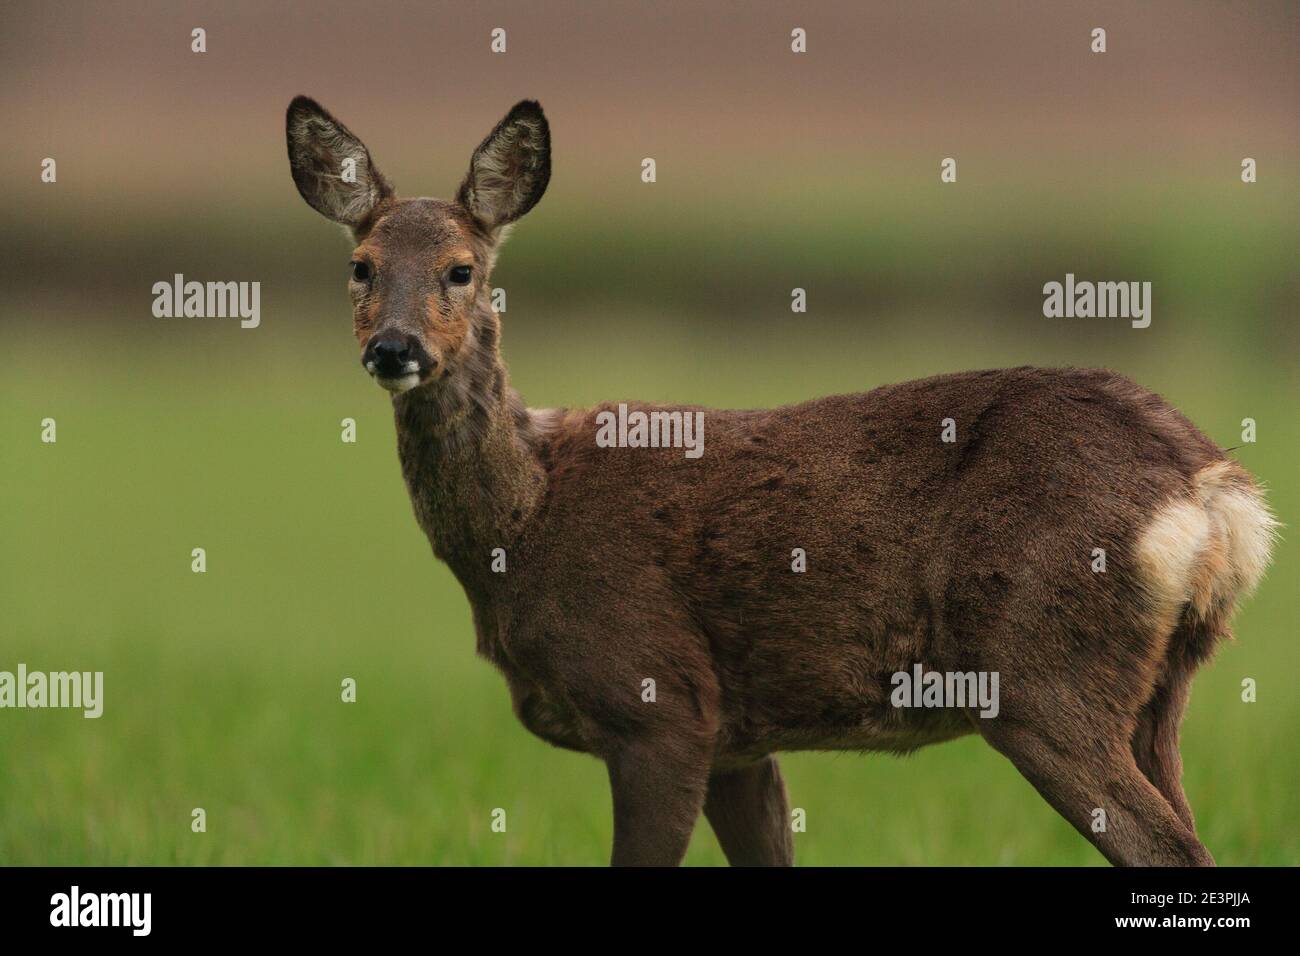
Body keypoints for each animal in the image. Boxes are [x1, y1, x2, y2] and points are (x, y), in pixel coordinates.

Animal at [286, 96, 1277, 867]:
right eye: (359, 268)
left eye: (463, 270)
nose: (394, 348)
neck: (522, 525)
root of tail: (1219, 492)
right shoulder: (735, 737)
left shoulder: (659, 700)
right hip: (1161, 688)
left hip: (1041, 670)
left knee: (1171, 848)